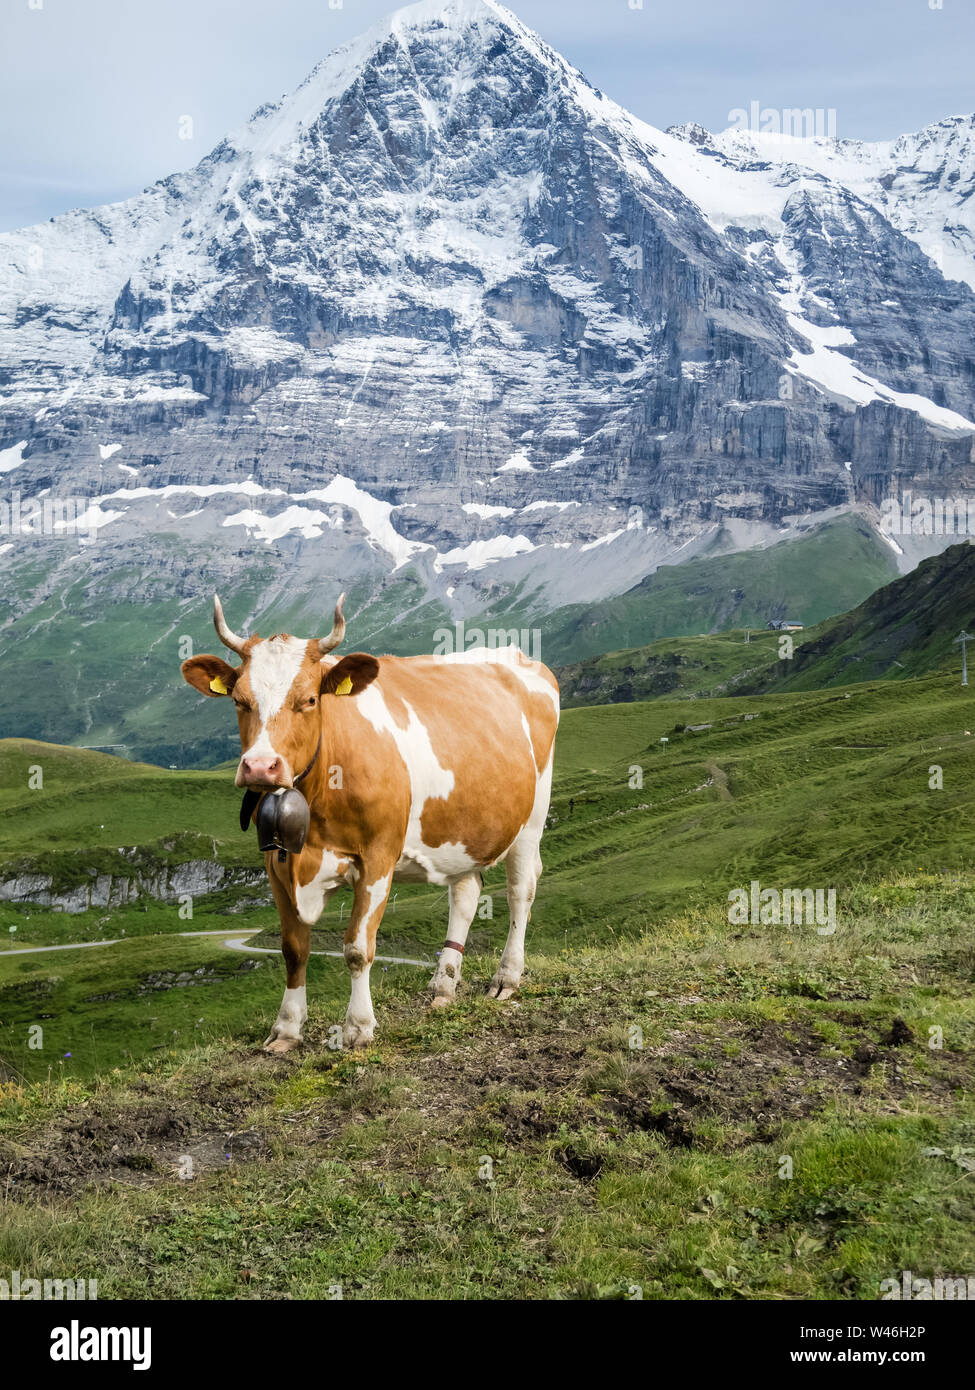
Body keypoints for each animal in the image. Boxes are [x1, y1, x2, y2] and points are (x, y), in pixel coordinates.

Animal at [180, 595, 559, 1053]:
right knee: (466, 893)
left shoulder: (378, 856)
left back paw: (507, 978)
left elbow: (358, 948)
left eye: (309, 700)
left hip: (531, 820)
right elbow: (293, 949)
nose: (260, 766)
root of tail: (519, 657)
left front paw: (358, 1027)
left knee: (522, 890)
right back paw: (443, 987)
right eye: (238, 700)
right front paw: (286, 1029)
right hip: (461, 829)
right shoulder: (277, 863)